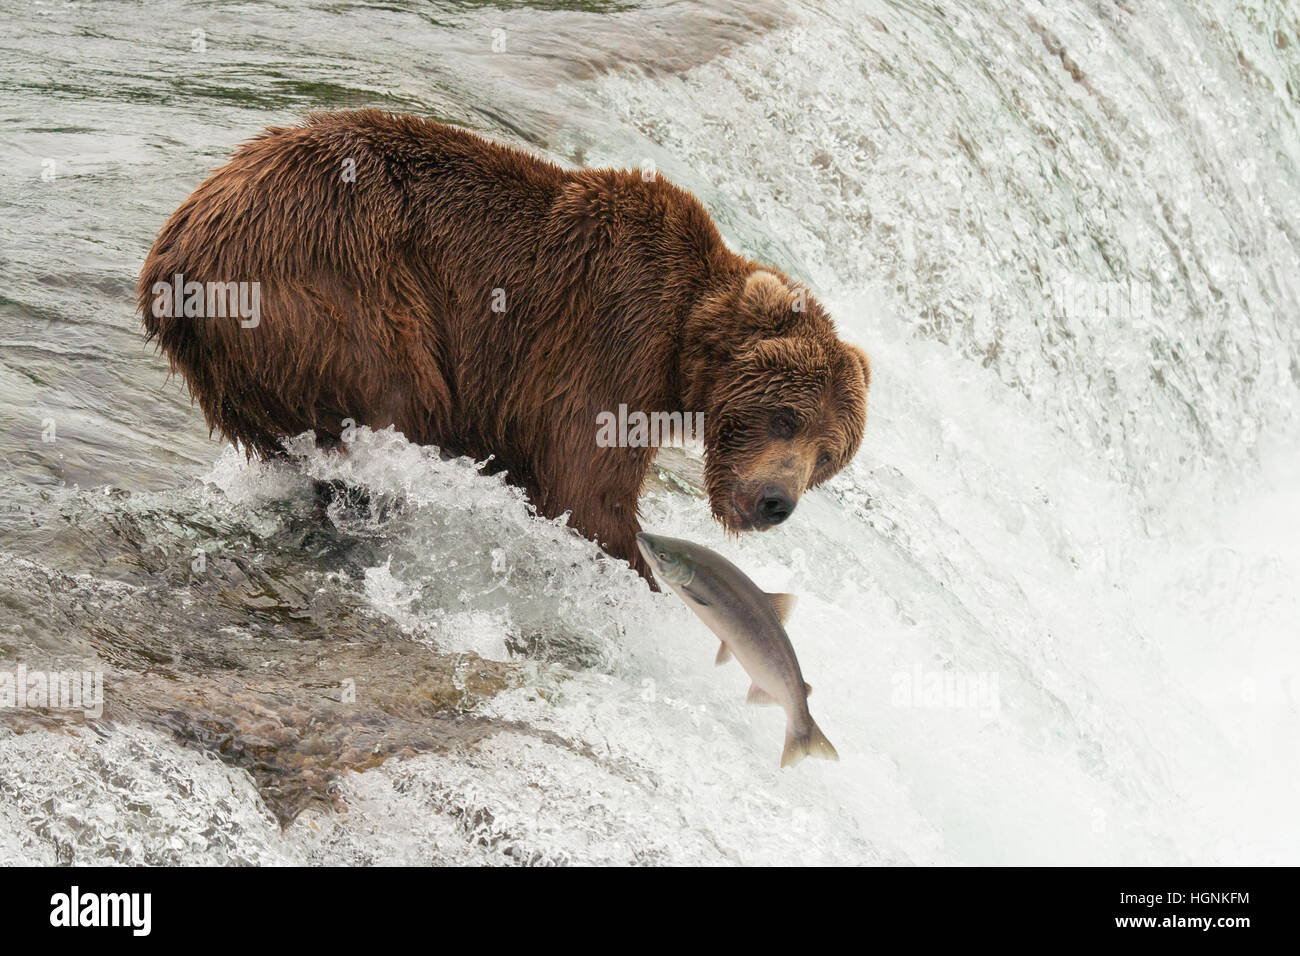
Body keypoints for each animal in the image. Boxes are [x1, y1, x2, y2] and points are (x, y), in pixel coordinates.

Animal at [137, 110, 871, 584]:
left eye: (828, 456)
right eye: (787, 417)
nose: (777, 503)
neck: (683, 348)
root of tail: (176, 247)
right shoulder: (611, 340)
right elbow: (586, 487)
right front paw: (639, 563)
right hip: (334, 279)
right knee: (396, 397)